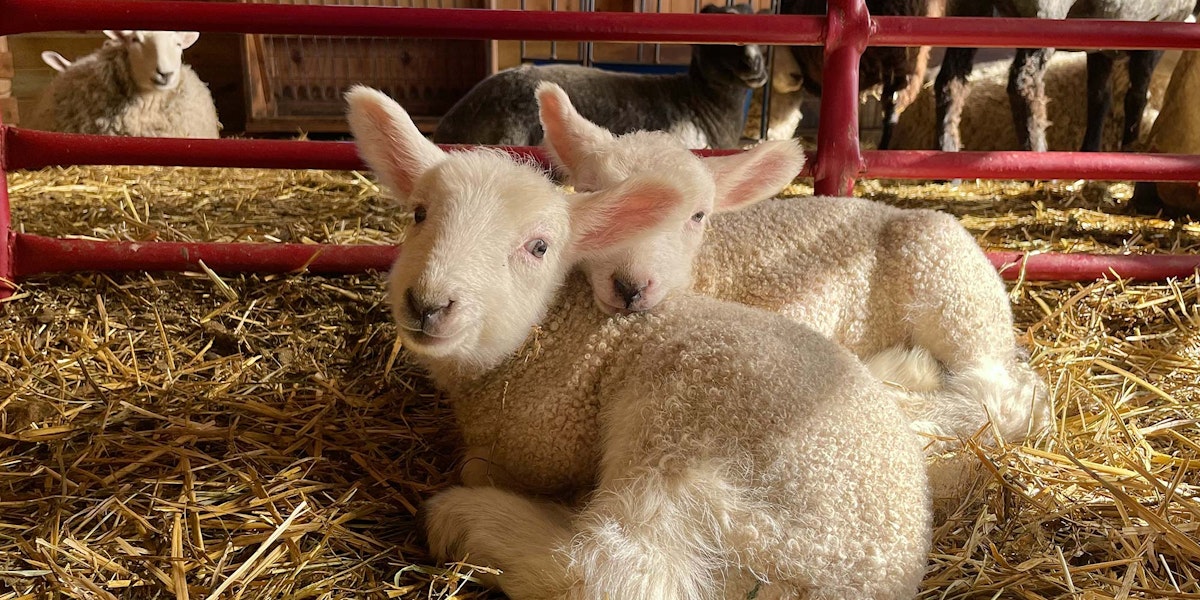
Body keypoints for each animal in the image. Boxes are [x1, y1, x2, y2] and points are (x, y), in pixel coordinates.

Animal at [347, 84, 932, 599]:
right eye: (419, 213)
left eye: (539, 247)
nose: (428, 304)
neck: (543, 336)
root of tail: (866, 577)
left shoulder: (545, 447)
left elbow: (484, 467)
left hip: (684, 455)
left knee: (616, 573)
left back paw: (467, 520)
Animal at [539, 83, 1052, 451]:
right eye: (591, 195)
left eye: (698, 215)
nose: (629, 286)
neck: (712, 269)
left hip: (951, 290)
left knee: (1000, 396)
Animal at [933, 0, 1195, 153]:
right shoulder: (1161, 25)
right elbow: (1137, 97)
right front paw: (1129, 149)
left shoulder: (1101, 42)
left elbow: (1099, 98)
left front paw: (1090, 151)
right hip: (1044, 12)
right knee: (1024, 83)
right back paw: (1036, 154)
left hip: (968, 9)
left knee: (949, 80)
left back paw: (947, 156)